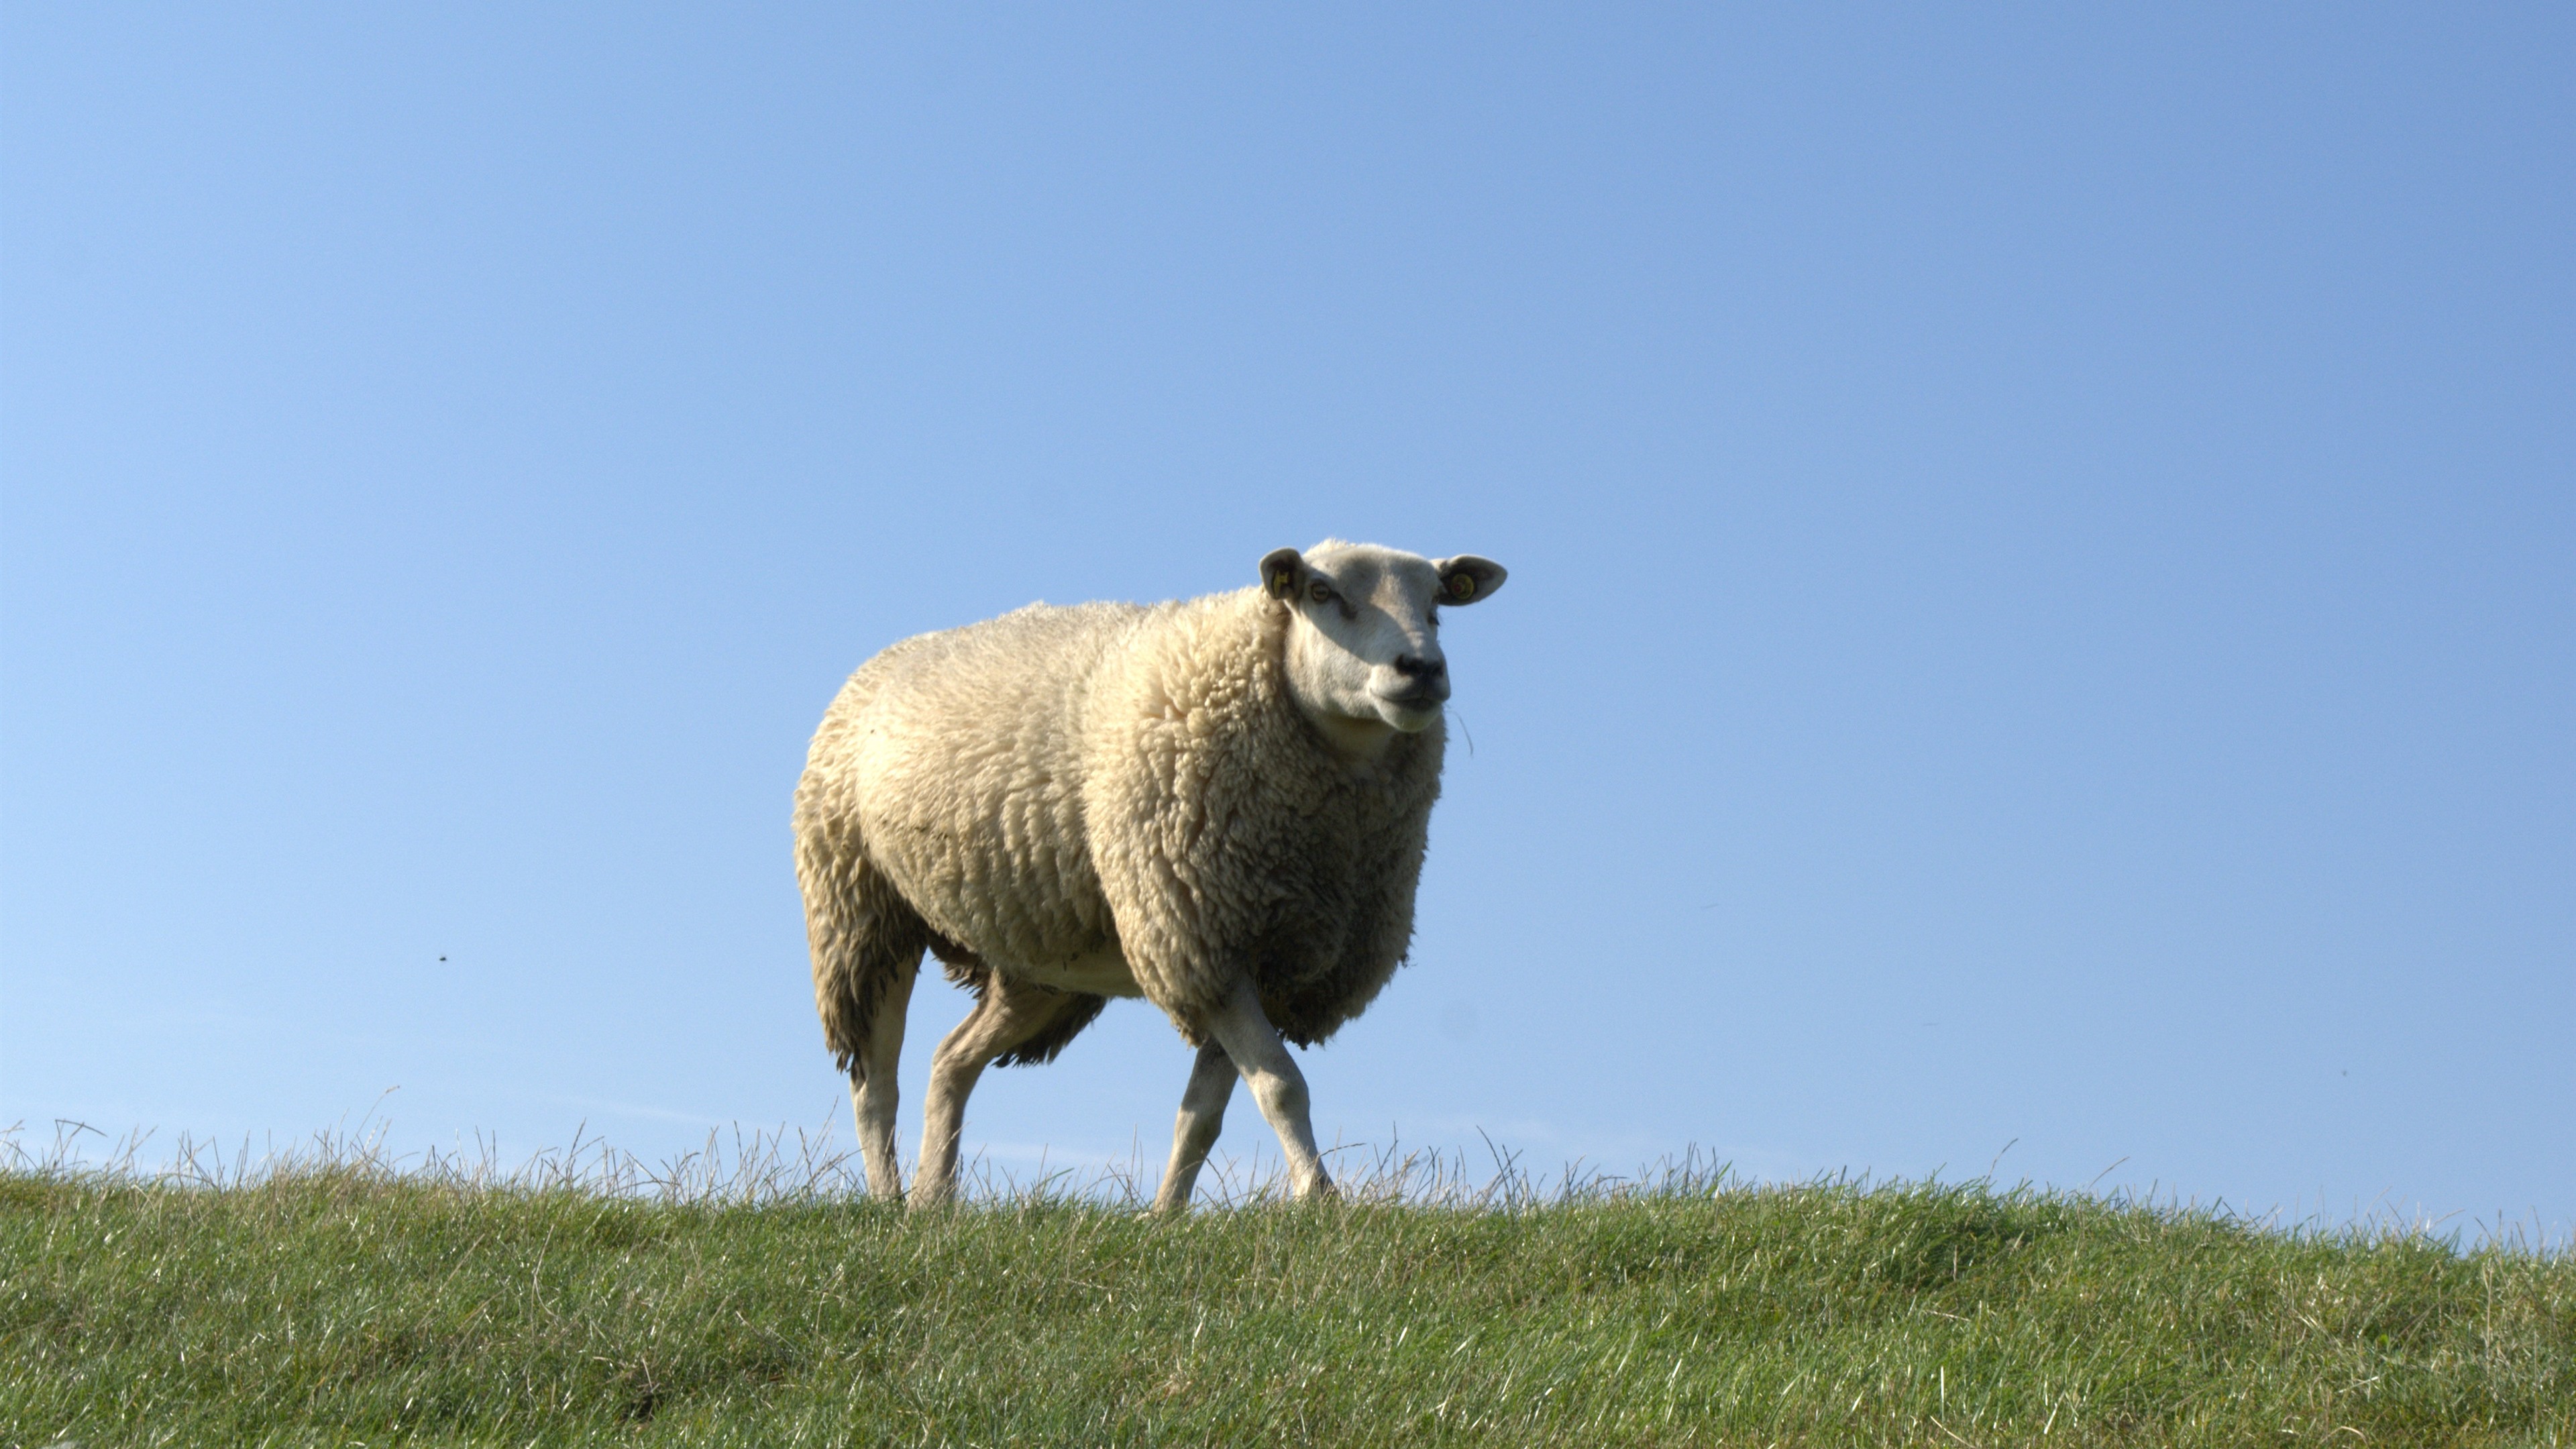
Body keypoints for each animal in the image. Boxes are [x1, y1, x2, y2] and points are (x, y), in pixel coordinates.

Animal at [793, 540, 1508, 1210]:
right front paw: (1319, 1198)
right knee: (875, 1081)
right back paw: (888, 1200)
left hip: (1038, 965)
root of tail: (881, 662)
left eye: (1438, 604)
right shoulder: (1199, 938)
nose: (1422, 669)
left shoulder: (1255, 959)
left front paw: (1164, 1215)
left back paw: (934, 1200)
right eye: (1321, 592)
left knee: (951, 1060)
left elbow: (1204, 1113)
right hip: (861, 910)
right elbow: (1281, 1087)